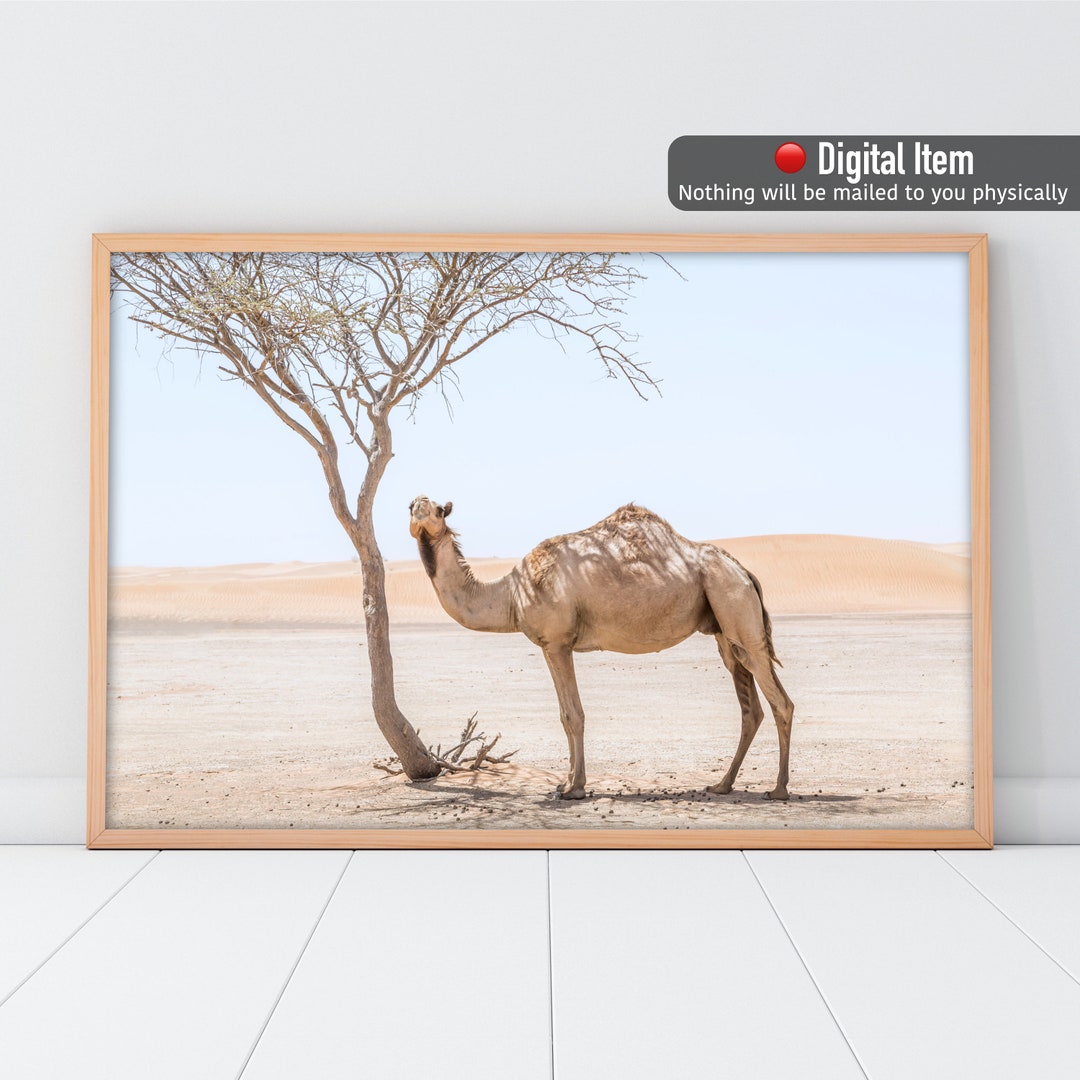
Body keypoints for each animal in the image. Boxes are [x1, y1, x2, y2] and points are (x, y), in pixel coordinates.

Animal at [408, 496, 794, 802]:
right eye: (411, 506)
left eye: (439, 510)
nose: (418, 508)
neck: (512, 594)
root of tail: (743, 571)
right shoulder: (551, 645)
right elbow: (565, 715)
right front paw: (565, 782)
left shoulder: (558, 642)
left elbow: (573, 715)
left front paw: (574, 788)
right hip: (724, 628)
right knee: (750, 706)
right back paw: (722, 785)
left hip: (734, 604)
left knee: (780, 702)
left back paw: (778, 789)